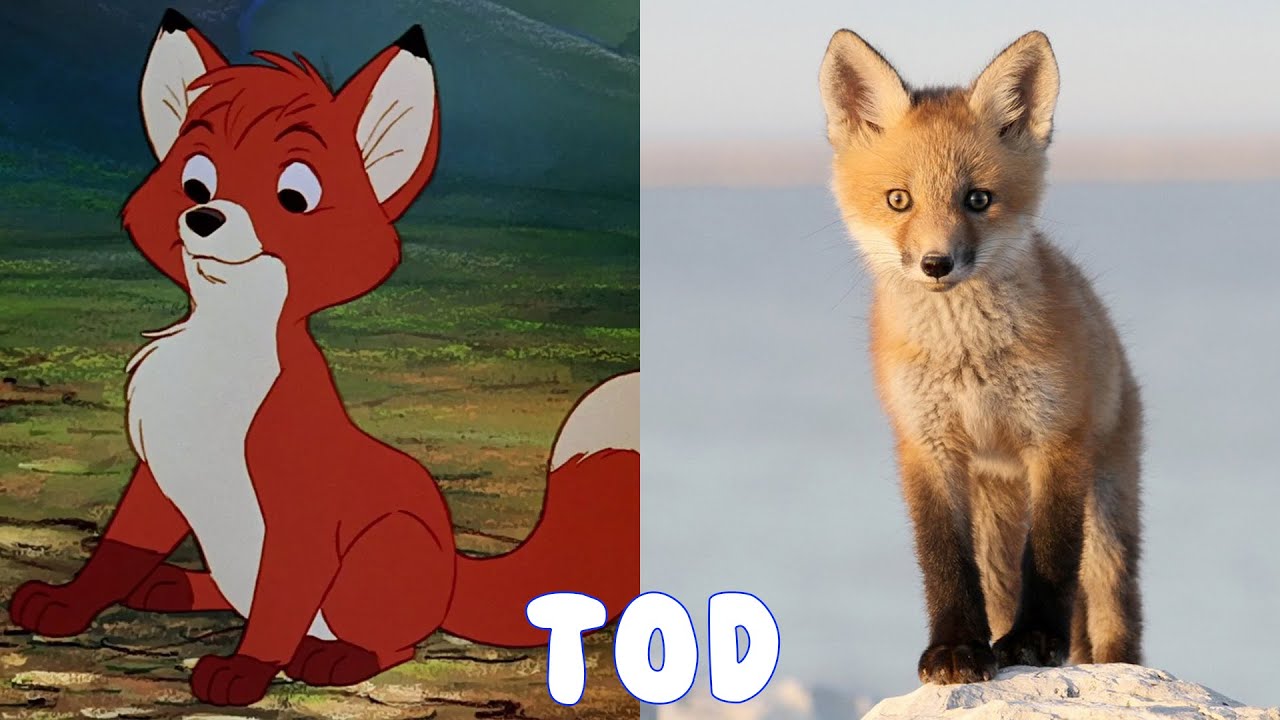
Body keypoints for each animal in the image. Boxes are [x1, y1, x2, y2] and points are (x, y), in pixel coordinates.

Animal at [6, 9, 639, 707]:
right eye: (194, 182)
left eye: (294, 197)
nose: (203, 217)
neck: (221, 355)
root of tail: (452, 571)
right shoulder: (158, 476)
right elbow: (115, 555)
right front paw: (66, 605)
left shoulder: (300, 513)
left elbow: (279, 603)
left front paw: (245, 671)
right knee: (233, 594)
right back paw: (172, 586)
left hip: (384, 547)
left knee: (391, 643)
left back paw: (331, 656)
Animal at [818, 30, 1143, 684]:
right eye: (898, 200)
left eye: (977, 199)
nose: (936, 264)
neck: (967, 358)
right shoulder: (927, 445)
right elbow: (943, 559)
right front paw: (955, 648)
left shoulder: (1056, 441)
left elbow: (1051, 560)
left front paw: (1034, 641)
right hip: (994, 523)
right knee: (996, 586)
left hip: (1106, 517)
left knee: (1110, 612)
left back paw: (1109, 661)